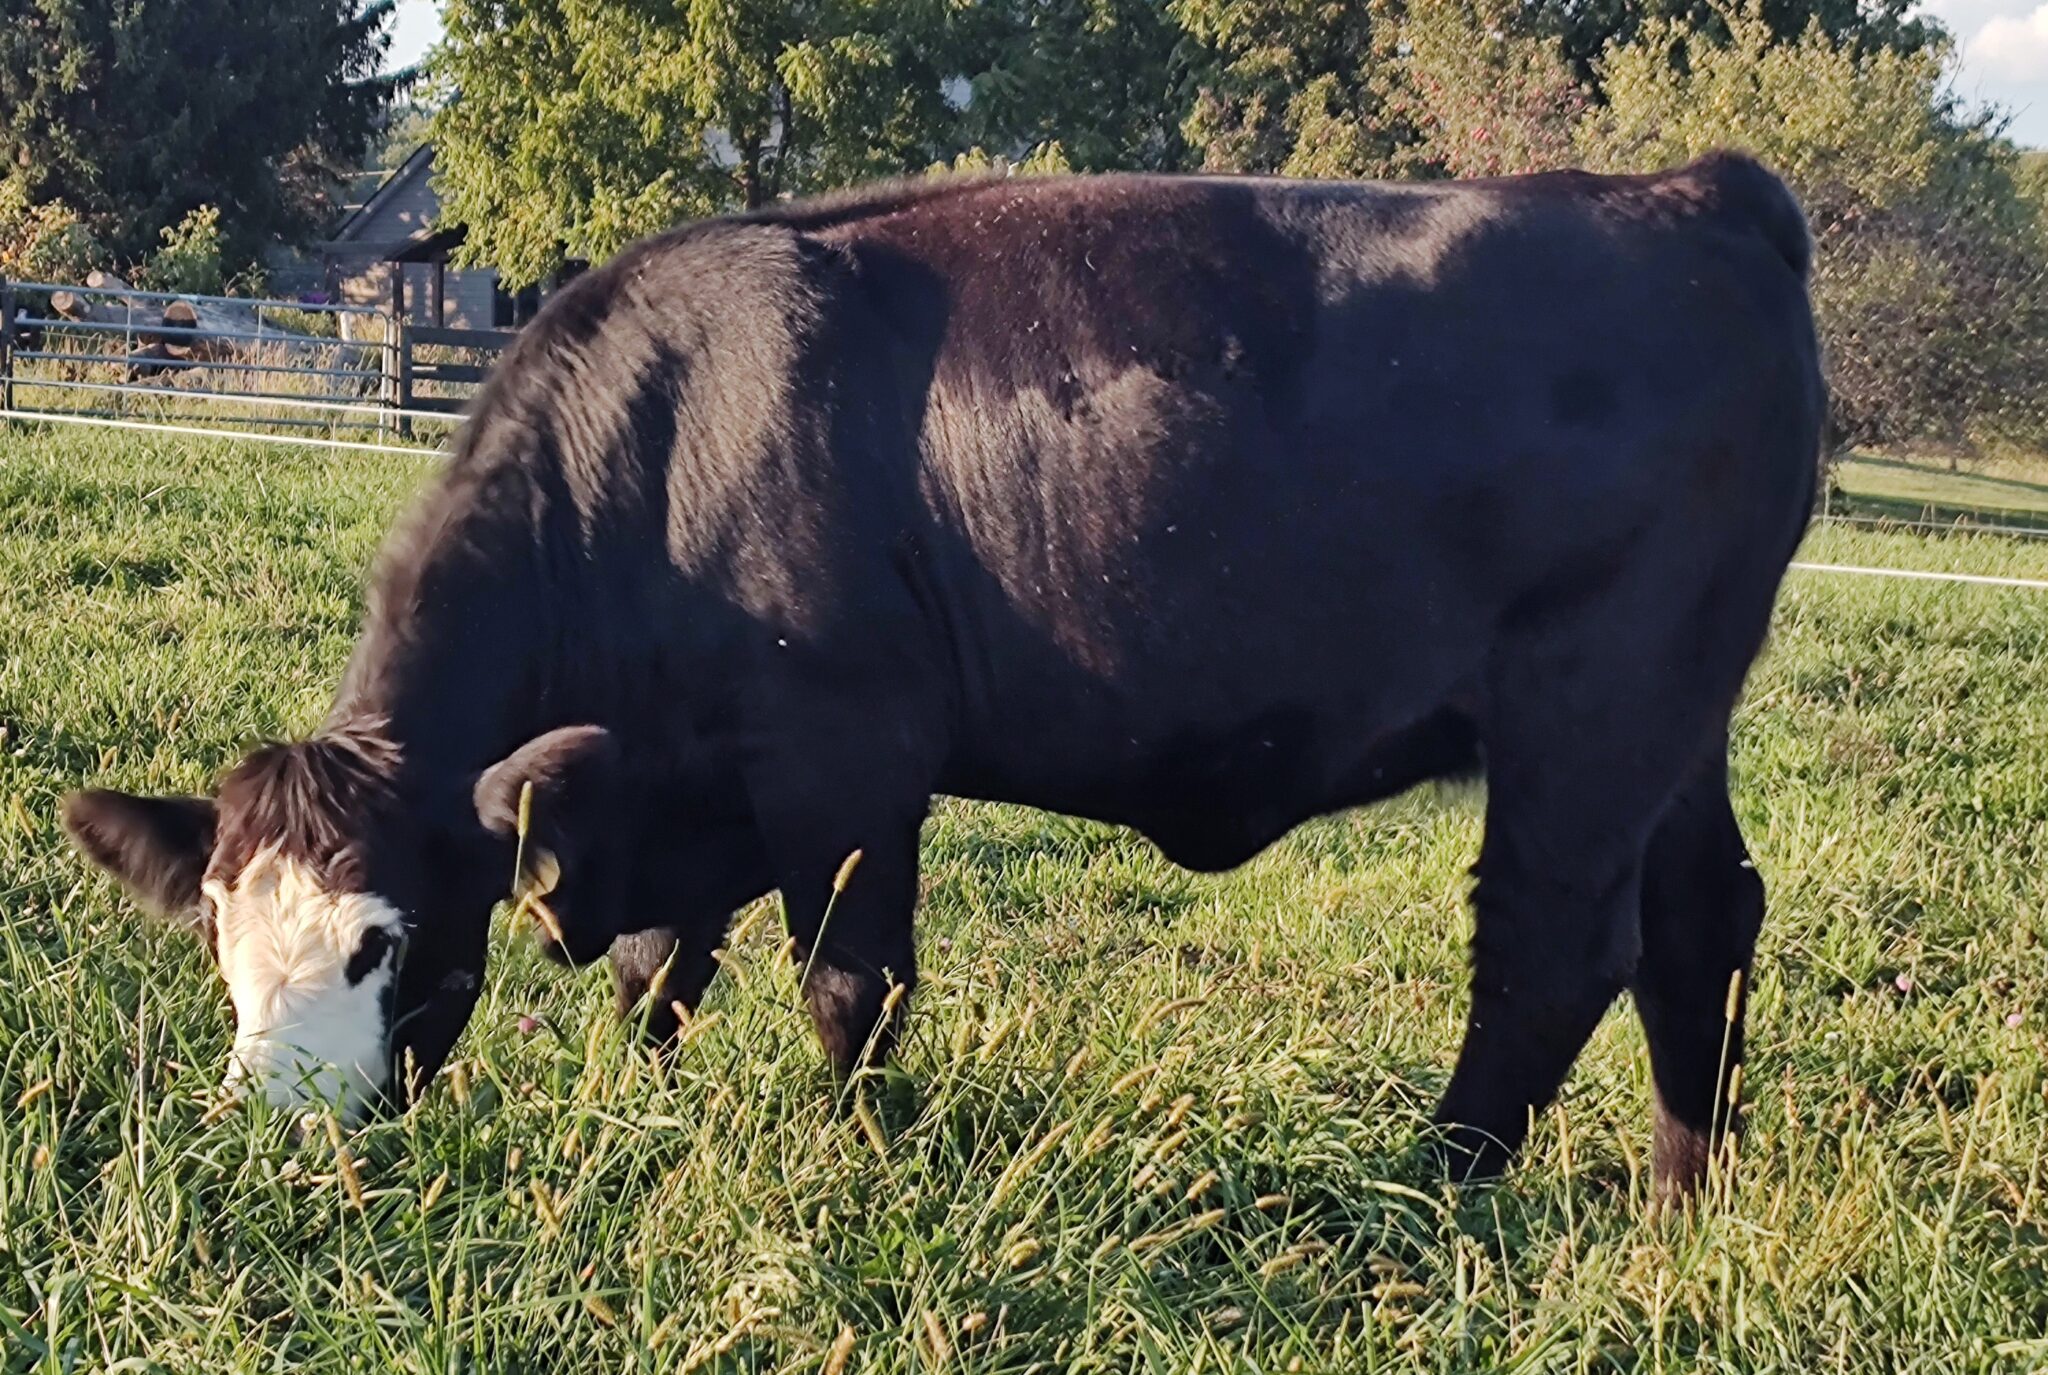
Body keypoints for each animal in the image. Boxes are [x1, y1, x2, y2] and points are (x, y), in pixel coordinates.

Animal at [61, 153, 1823, 1198]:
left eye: (382, 942)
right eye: (217, 938)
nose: (287, 1136)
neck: (669, 439)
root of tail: (1689, 192)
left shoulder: (845, 757)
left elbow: (850, 981)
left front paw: (846, 1159)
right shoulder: (670, 779)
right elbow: (651, 967)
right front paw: (644, 1107)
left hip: (1591, 708)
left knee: (1550, 947)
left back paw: (1424, 1186)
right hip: (1678, 720)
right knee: (1700, 924)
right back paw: (1684, 1197)